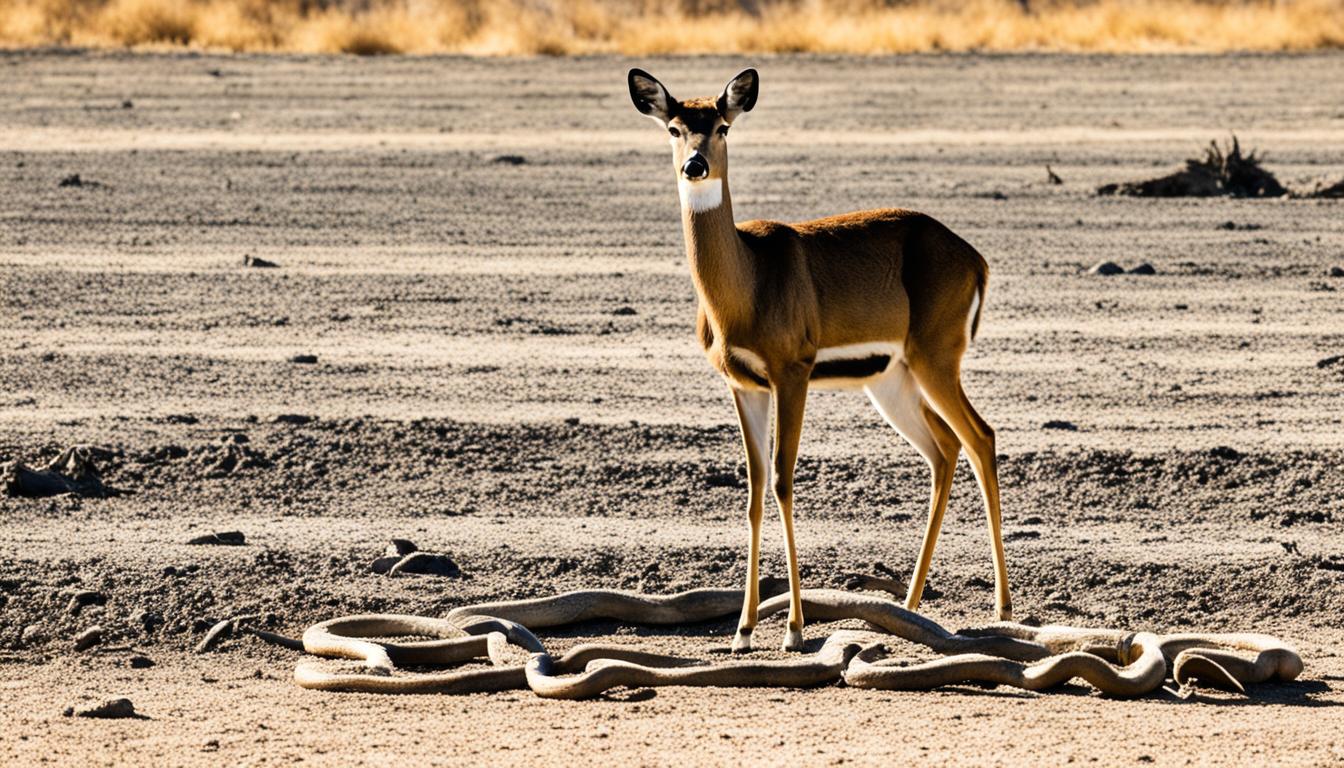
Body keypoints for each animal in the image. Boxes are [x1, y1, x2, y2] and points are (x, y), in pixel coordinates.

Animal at [627, 67, 1010, 653]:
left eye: (721, 126)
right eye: (673, 127)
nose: (695, 165)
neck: (747, 281)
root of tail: (973, 257)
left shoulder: (793, 373)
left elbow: (784, 480)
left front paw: (793, 629)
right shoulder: (744, 386)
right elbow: (755, 489)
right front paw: (742, 631)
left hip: (936, 360)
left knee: (980, 437)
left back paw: (1004, 607)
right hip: (892, 381)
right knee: (944, 449)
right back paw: (909, 604)